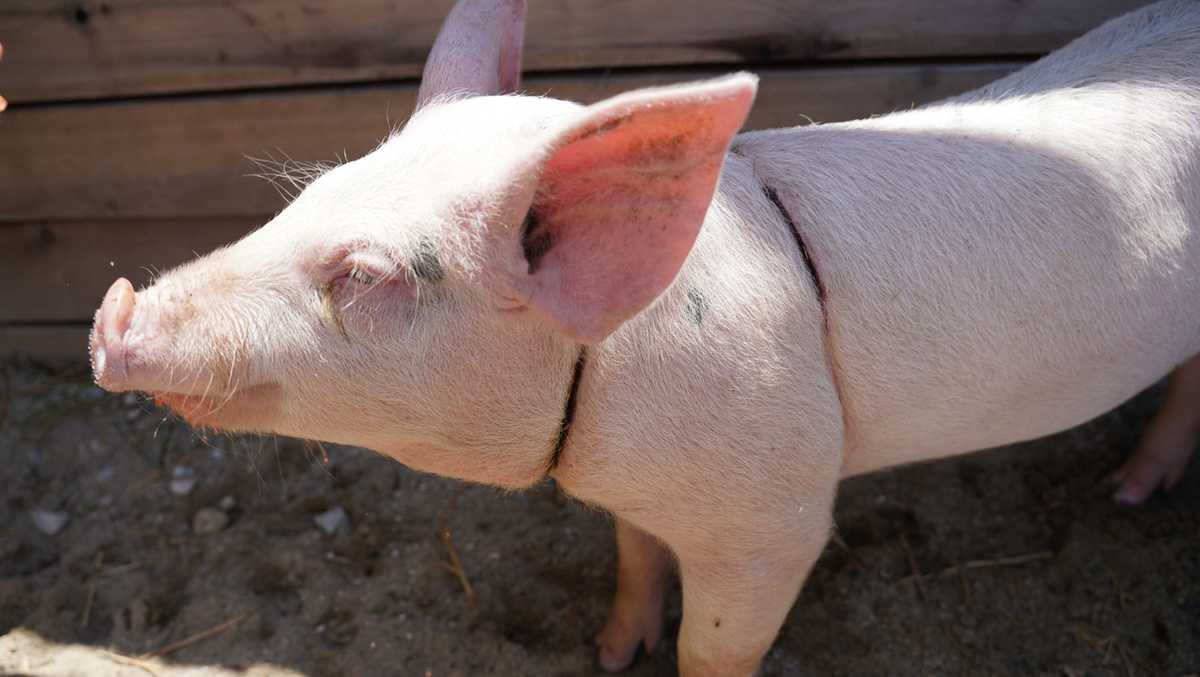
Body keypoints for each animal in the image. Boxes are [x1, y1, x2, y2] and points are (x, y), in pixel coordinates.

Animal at [88, 0, 1200, 674]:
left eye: (364, 275)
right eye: (306, 198)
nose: (113, 313)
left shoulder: (776, 519)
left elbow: (719, 645)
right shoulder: (640, 496)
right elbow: (632, 557)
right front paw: (605, 648)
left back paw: (1125, 493)